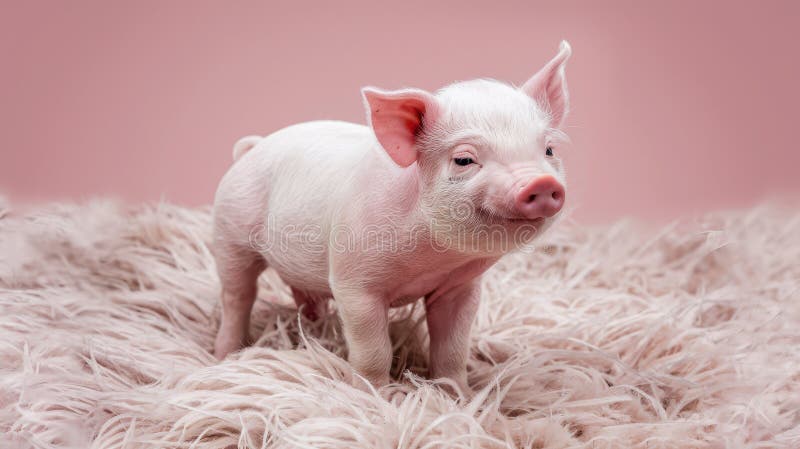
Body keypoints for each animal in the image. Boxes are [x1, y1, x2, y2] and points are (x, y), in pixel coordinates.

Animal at [212, 41, 572, 393]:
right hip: (230, 234)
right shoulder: (353, 281)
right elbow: (373, 350)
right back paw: (225, 355)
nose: (541, 183)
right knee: (237, 296)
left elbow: (453, 349)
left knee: (303, 295)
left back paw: (313, 335)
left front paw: (458, 396)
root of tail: (254, 147)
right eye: (464, 159)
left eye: (548, 151)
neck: (432, 259)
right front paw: (375, 395)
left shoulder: (460, 287)